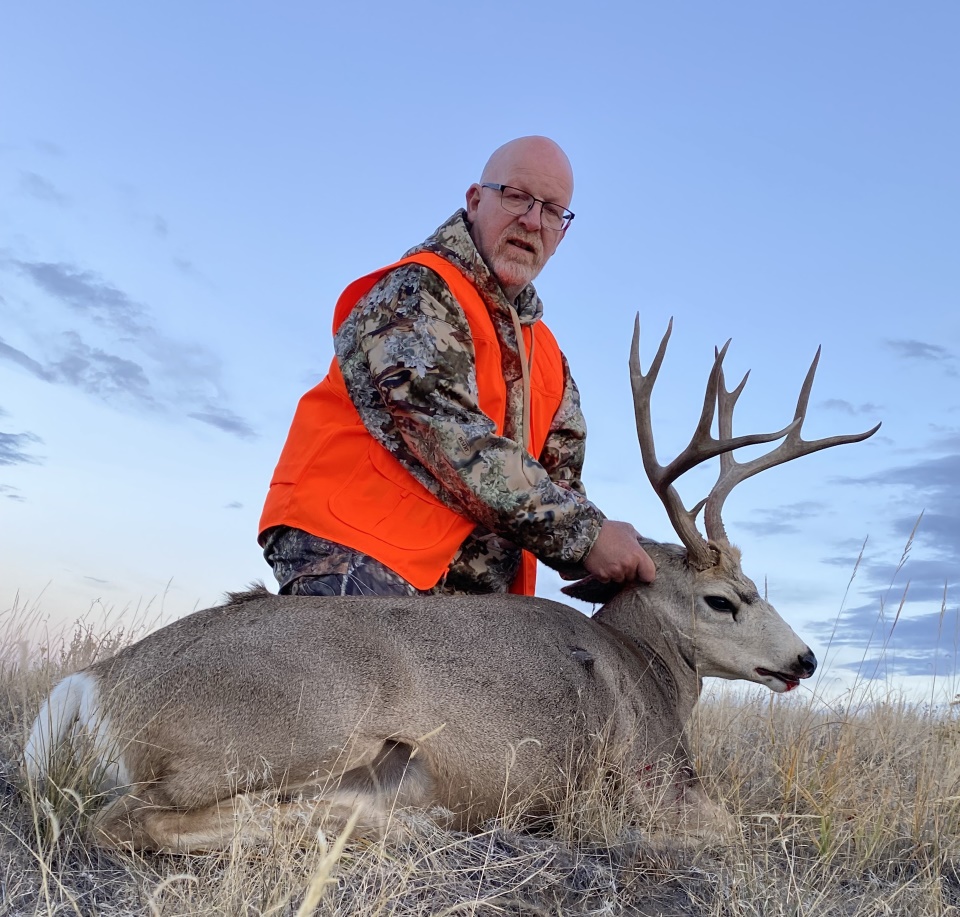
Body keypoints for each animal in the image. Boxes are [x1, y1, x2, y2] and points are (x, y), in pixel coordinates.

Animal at [23, 318, 879, 853]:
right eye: (723, 599)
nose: (804, 659)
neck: (646, 668)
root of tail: (94, 681)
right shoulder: (639, 774)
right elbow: (728, 826)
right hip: (286, 726)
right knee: (125, 819)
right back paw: (384, 826)